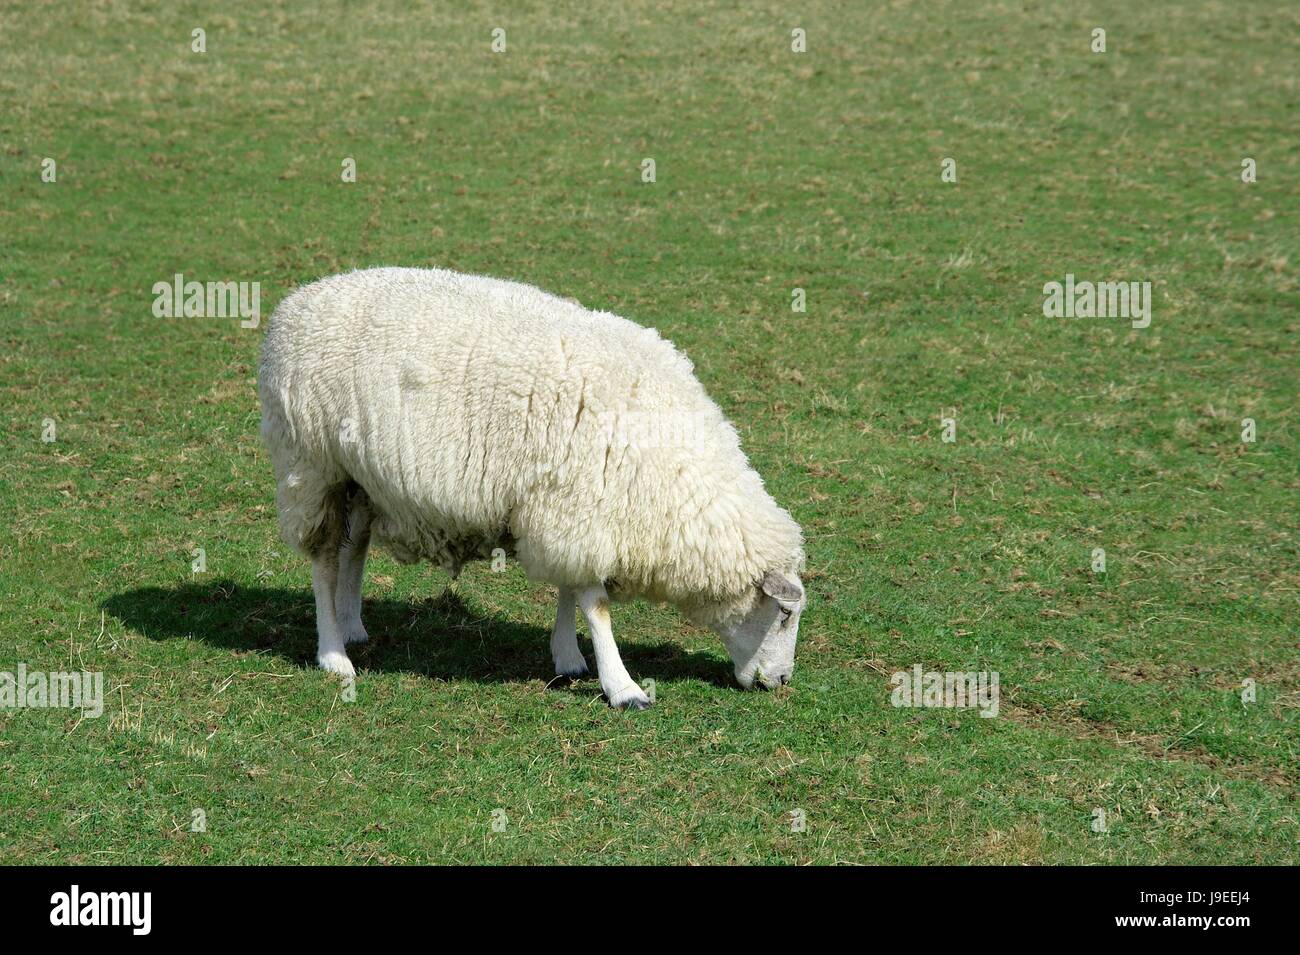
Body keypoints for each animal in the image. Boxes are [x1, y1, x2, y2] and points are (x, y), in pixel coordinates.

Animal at [257, 266, 806, 709]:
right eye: (783, 614)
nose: (781, 682)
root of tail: (297, 301)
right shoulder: (576, 507)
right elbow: (595, 604)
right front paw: (623, 687)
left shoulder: (568, 509)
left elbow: (570, 589)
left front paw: (568, 659)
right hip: (311, 464)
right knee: (324, 560)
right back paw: (333, 653)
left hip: (360, 477)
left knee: (355, 548)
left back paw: (353, 626)